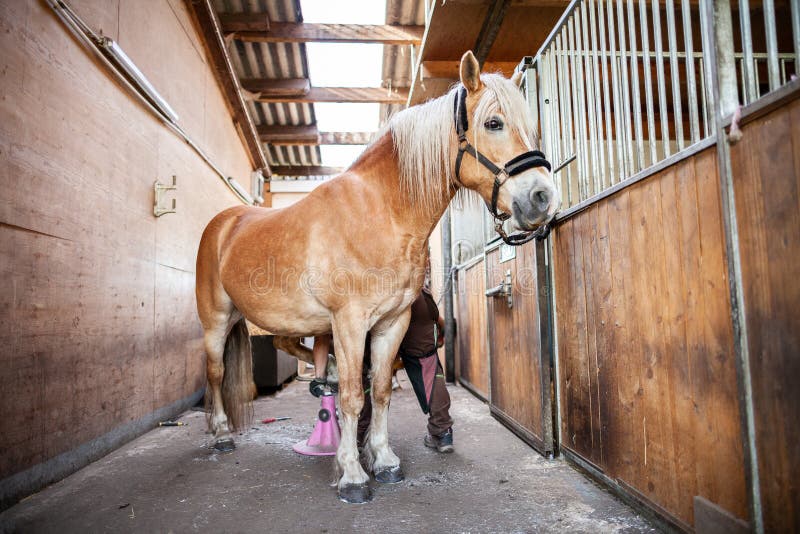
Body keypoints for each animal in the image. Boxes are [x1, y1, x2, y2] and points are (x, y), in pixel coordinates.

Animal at [194, 51, 561, 503]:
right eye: (494, 123)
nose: (543, 198)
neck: (379, 211)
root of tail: (224, 223)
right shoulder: (350, 323)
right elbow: (353, 396)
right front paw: (352, 475)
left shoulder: (392, 322)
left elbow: (382, 389)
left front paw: (384, 461)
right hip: (215, 320)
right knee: (215, 373)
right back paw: (221, 435)